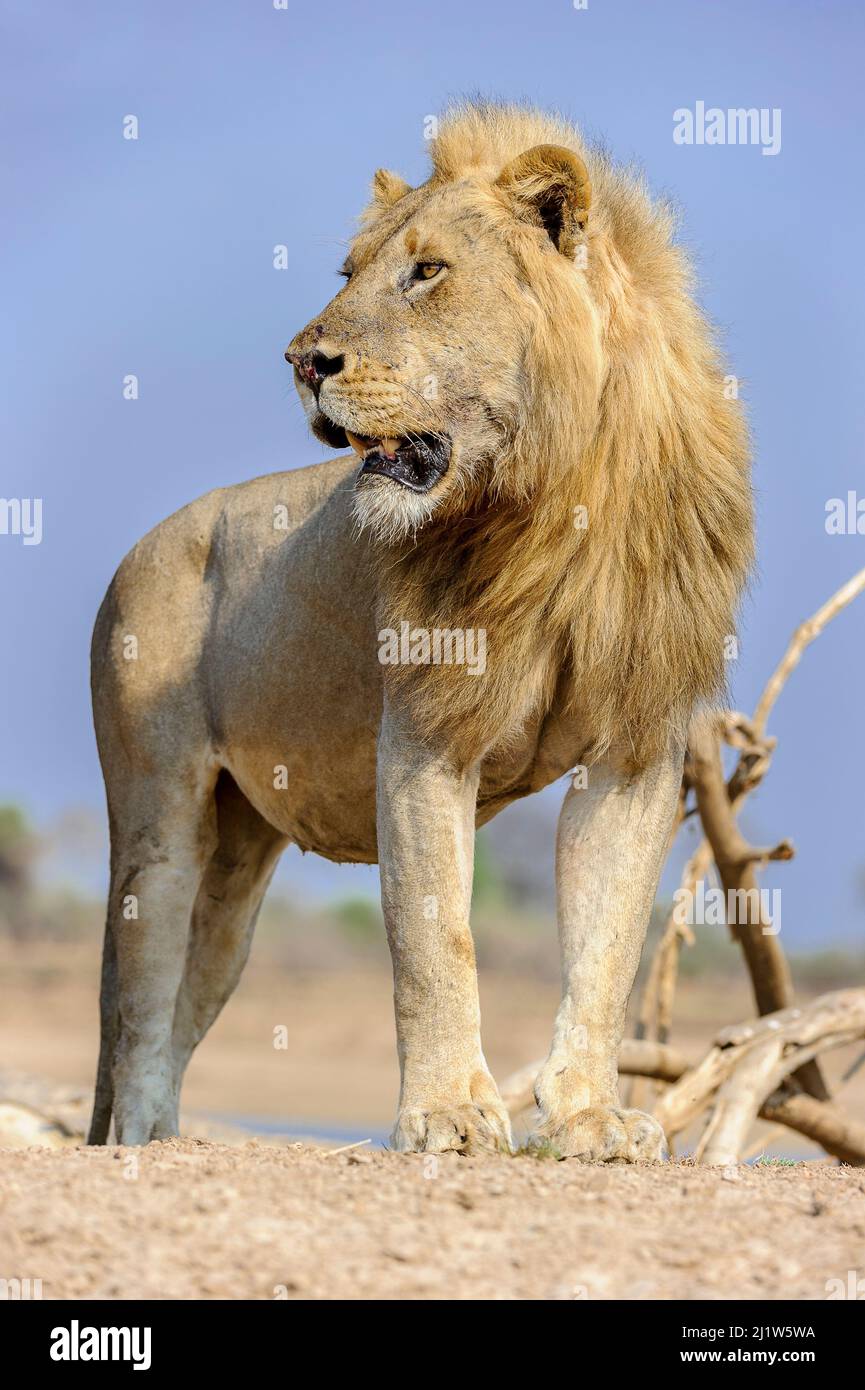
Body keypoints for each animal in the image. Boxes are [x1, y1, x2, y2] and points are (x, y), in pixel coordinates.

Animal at [87, 102, 752, 1158]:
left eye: (427, 271)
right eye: (347, 271)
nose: (301, 362)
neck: (555, 503)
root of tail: (138, 548)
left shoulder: (636, 753)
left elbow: (605, 947)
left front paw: (590, 1118)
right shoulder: (425, 737)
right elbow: (436, 934)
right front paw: (447, 1115)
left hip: (236, 869)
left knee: (193, 988)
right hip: (159, 820)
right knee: (139, 1014)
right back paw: (144, 1146)